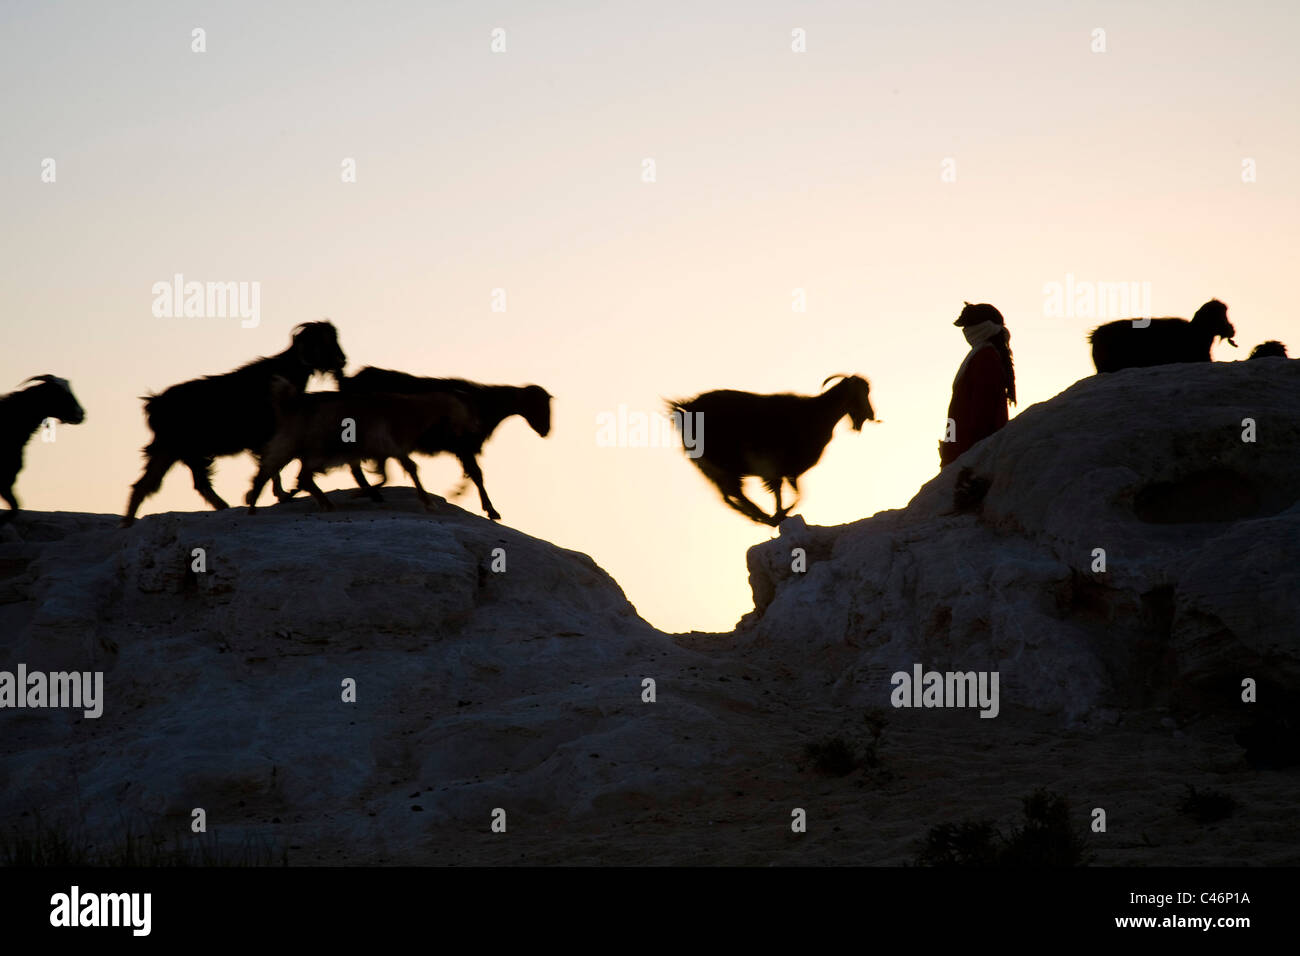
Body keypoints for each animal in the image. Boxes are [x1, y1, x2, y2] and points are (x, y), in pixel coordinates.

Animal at [121, 321, 347, 527]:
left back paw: (129, 522)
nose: (343, 360)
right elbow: (272, 464)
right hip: (183, 450)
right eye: (324, 341)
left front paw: (277, 494)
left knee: (147, 485)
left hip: (169, 451)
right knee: (195, 482)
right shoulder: (268, 436)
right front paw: (276, 494)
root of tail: (154, 403)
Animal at [246, 377, 476, 514]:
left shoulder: (381, 451)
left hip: (302, 448)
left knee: (295, 475)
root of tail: (290, 405)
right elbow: (408, 469)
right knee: (278, 472)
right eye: (461, 411)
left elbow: (385, 476)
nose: (471, 431)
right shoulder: (388, 445)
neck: (407, 411)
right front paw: (428, 501)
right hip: (304, 447)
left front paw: (364, 493)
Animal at [340, 367, 552, 521]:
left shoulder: (464, 448)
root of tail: (350, 381)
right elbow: (477, 475)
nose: (546, 431)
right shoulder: (465, 446)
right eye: (537, 404)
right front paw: (490, 509)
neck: (484, 403)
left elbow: (472, 474)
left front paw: (461, 492)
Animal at [667, 374, 874, 526]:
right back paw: (763, 517)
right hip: (724, 463)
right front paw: (780, 515)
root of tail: (686, 408)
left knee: (728, 496)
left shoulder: (781, 471)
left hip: (715, 469)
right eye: (861, 393)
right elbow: (792, 494)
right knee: (733, 494)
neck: (816, 413)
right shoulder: (779, 466)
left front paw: (779, 514)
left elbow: (787, 493)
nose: (871, 415)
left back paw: (760, 516)